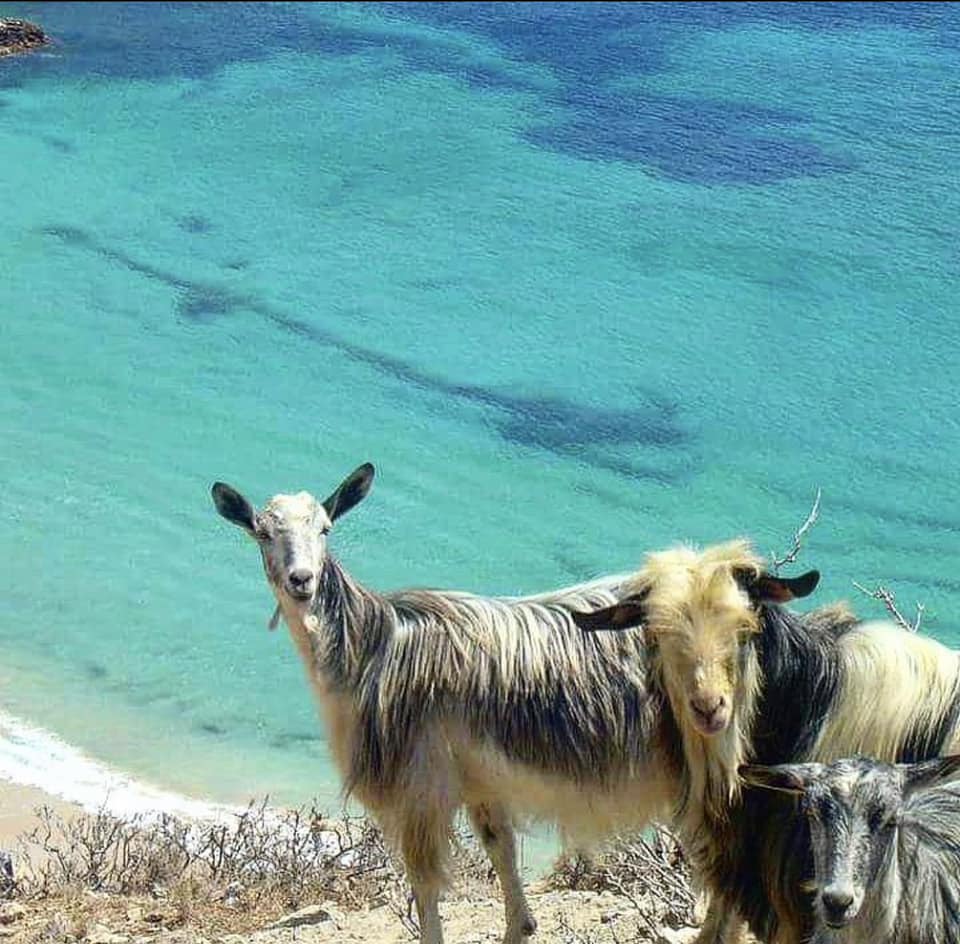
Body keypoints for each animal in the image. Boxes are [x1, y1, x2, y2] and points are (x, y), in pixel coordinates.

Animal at [212, 463, 677, 944]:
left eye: (325, 528)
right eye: (262, 532)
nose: (302, 580)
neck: (373, 649)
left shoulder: (420, 784)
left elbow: (424, 881)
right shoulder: (481, 784)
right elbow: (502, 854)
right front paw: (523, 925)